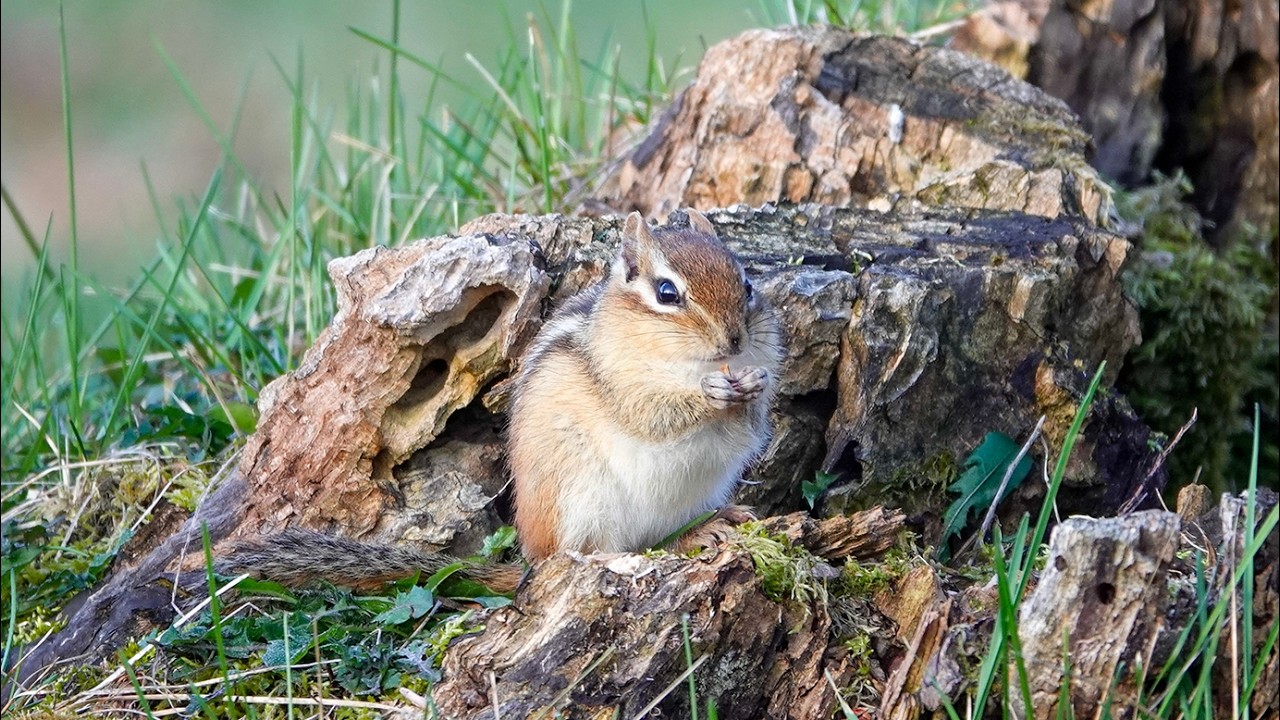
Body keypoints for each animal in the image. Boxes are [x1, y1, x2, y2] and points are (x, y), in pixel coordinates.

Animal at [221, 210, 781, 593]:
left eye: (747, 283)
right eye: (667, 293)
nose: (733, 340)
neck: (688, 364)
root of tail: (527, 557)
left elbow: (753, 423)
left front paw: (748, 391)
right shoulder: (624, 383)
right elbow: (654, 414)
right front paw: (711, 395)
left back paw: (712, 524)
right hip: (579, 499)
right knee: (583, 554)